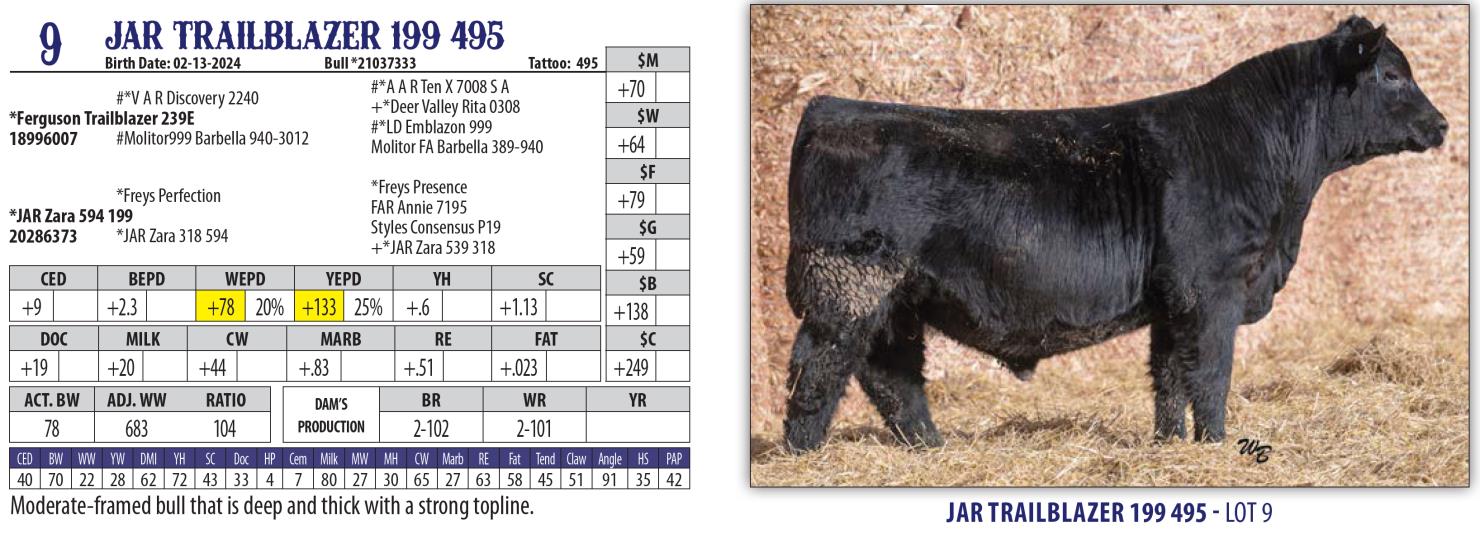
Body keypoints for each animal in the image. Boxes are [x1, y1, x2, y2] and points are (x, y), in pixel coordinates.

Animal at [781, 16, 1447, 451]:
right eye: (1392, 75)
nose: (1442, 124)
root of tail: (831, 108)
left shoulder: (1173, 300)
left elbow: (1169, 377)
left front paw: (1173, 446)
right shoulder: (1214, 289)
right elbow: (1211, 373)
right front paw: (1215, 444)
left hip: (897, 298)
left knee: (889, 374)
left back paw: (930, 447)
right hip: (850, 284)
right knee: (820, 368)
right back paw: (803, 454)